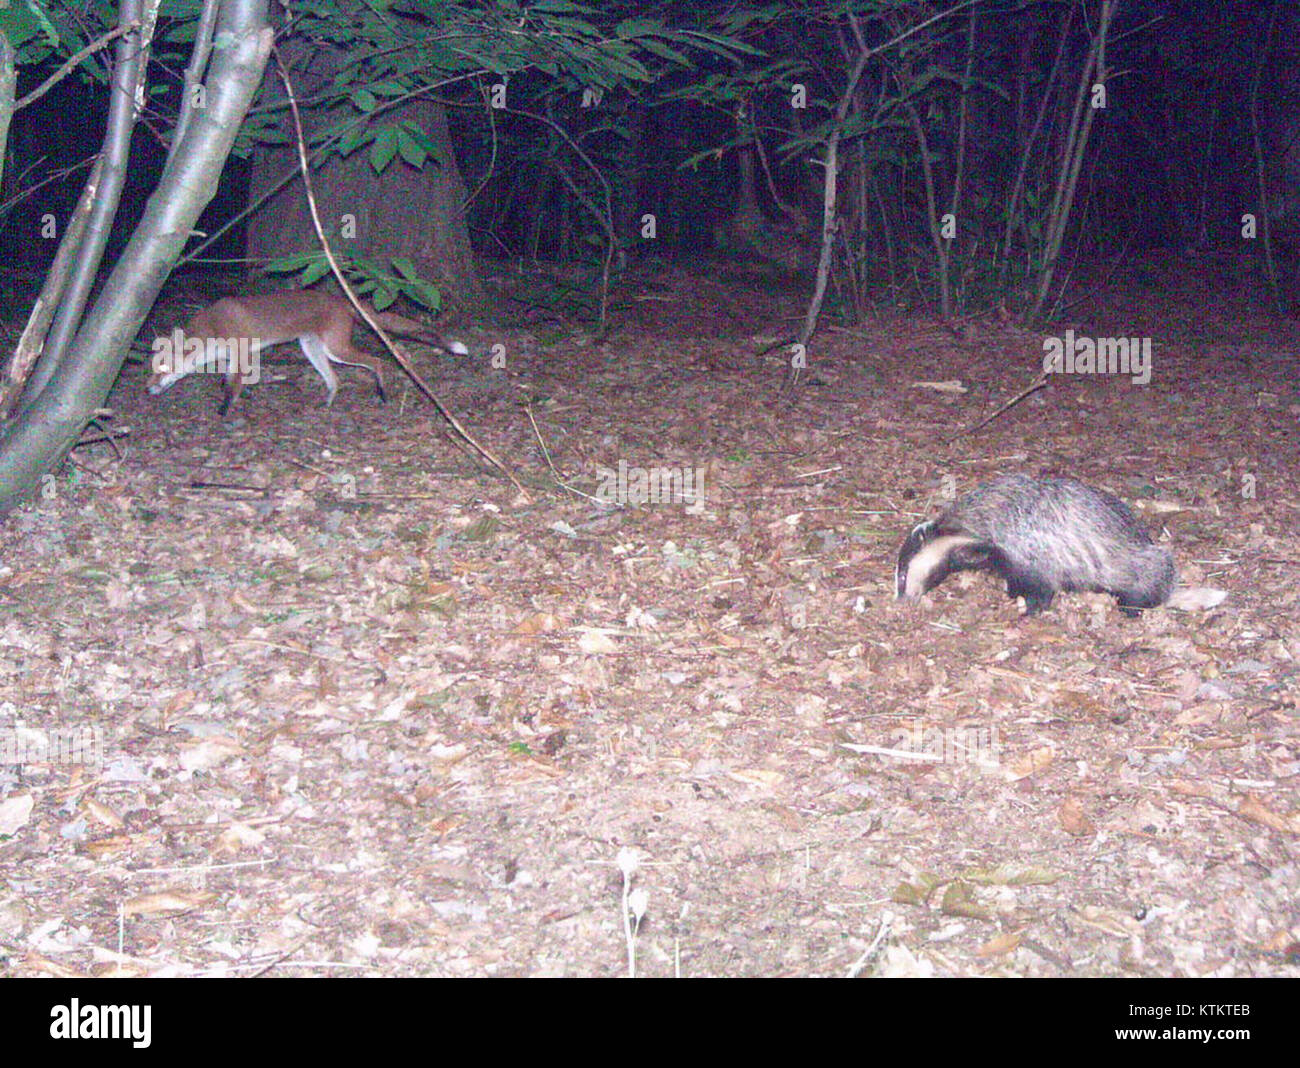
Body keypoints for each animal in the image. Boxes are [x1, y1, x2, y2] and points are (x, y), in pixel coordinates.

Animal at [146, 289, 467, 415]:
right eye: (151, 370)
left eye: (162, 370)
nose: (147, 390)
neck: (213, 327)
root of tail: (340, 298)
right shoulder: (236, 356)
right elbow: (231, 380)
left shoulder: (242, 351)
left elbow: (233, 385)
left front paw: (224, 411)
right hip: (314, 349)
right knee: (336, 380)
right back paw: (327, 404)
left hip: (337, 348)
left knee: (376, 361)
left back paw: (382, 393)